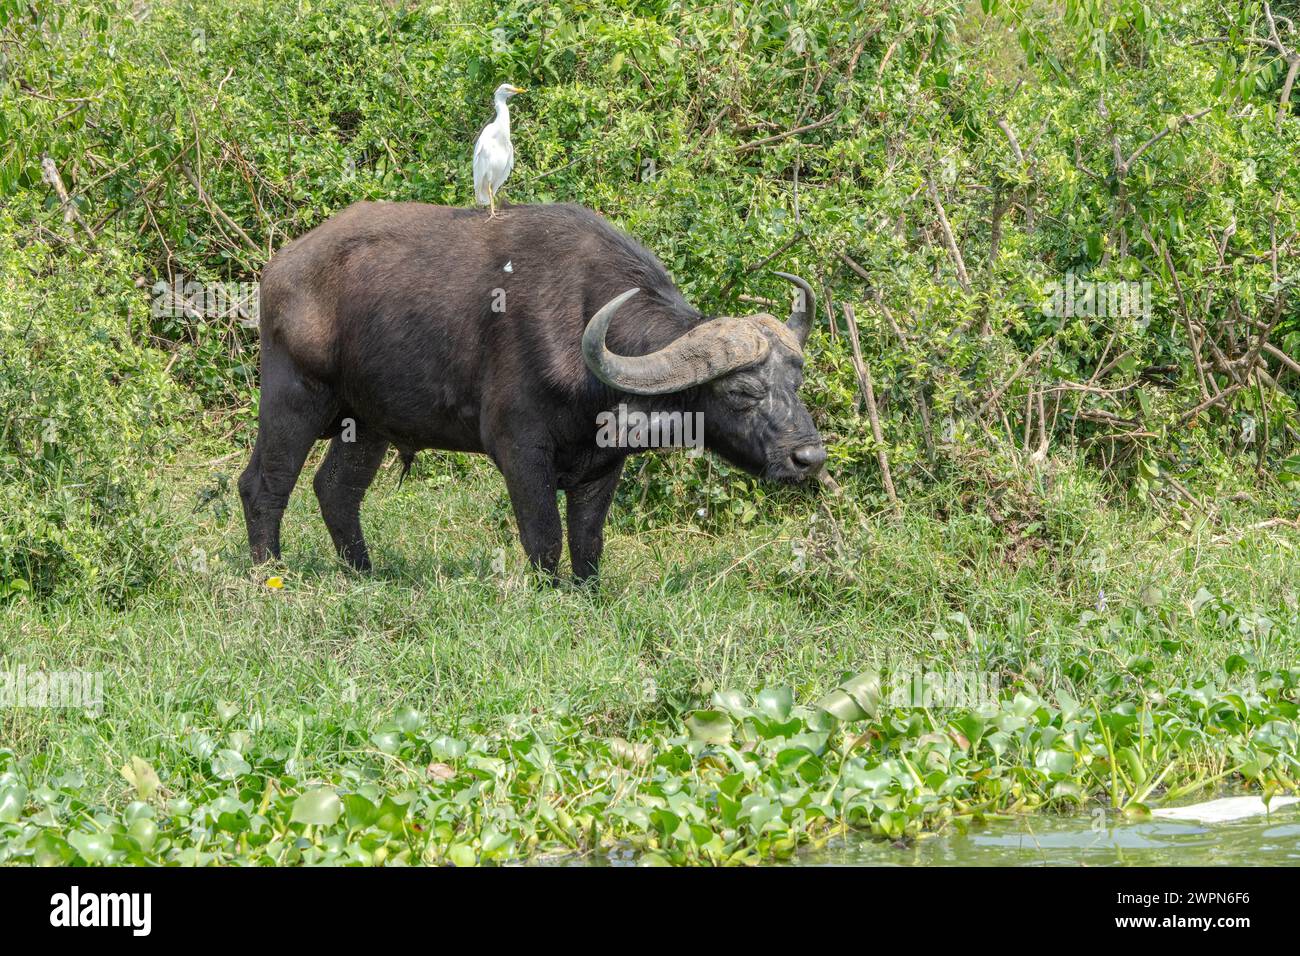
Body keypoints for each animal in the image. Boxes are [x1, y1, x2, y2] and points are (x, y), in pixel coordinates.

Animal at [239, 202, 826, 581]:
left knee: (336, 490)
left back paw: (364, 573)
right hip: (293, 396)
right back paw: (272, 573)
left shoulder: (603, 463)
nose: (809, 458)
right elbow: (543, 536)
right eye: (742, 391)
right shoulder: (520, 449)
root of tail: (280, 268)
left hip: (367, 423)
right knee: (264, 484)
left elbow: (588, 542)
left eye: (796, 381)